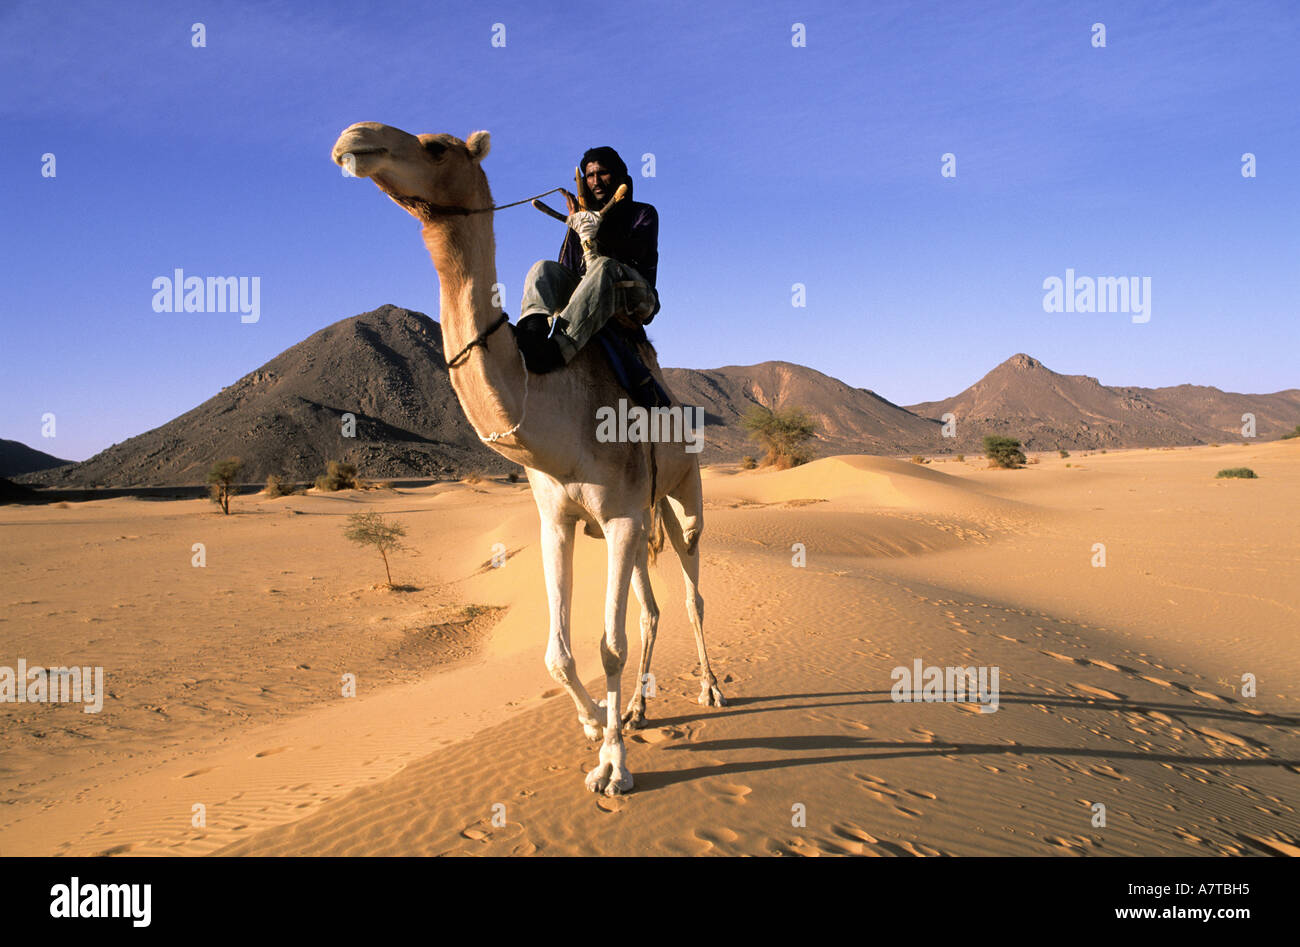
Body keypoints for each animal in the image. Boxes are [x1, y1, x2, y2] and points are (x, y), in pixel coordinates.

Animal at [330, 123, 725, 795]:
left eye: (436, 146)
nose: (354, 139)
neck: (552, 399)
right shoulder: (558, 520)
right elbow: (558, 653)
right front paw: (595, 726)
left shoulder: (620, 514)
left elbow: (608, 646)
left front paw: (613, 768)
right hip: (637, 520)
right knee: (651, 608)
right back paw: (640, 710)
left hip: (681, 491)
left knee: (693, 590)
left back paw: (710, 690)